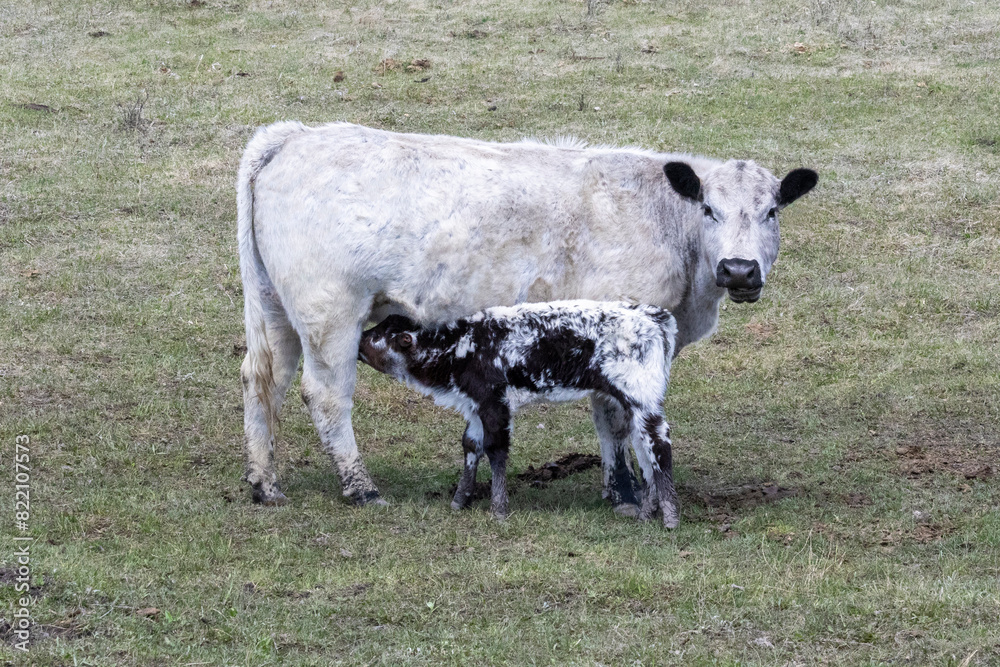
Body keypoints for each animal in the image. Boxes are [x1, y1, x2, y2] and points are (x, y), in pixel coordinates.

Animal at [357, 301, 680, 527]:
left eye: (381, 337)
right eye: (379, 326)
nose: (358, 340)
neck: (463, 345)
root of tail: (653, 315)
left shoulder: (495, 403)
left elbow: (496, 449)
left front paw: (498, 509)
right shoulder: (475, 406)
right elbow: (471, 445)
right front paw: (460, 500)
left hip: (642, 400)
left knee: (659, 446)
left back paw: (670, 519)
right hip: (634, 408)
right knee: (645, 454)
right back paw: (647, 514)